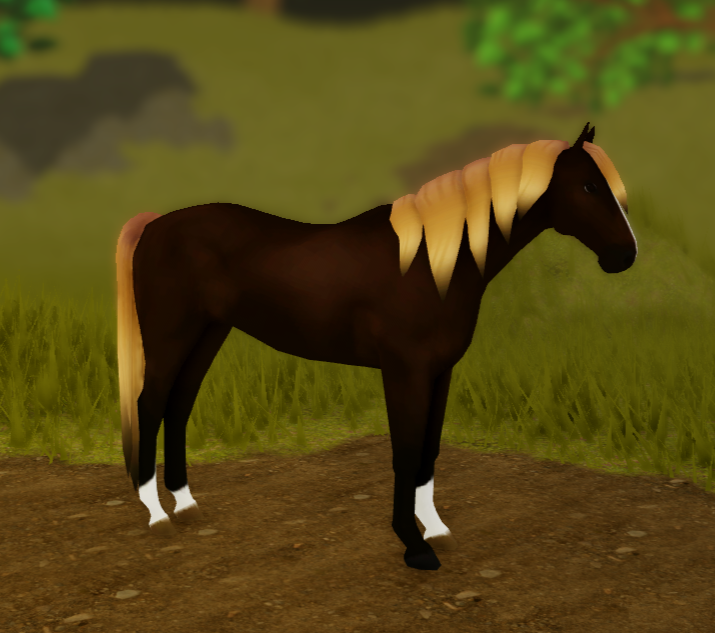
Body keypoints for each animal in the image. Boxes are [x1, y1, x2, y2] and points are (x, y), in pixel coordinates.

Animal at [116, 122, 637, 571]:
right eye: (589, 187)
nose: (626, 256)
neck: (431, 264)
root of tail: (156, 225)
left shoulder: (440, 371)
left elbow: (429, 452)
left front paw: (436, 528)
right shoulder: (405, 370)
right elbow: (405, 451)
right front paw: (414, 545)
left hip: (209, 334)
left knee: (179, 406)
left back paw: (186, 504)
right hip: (172, 336)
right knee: (150, 404)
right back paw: (157, 514)